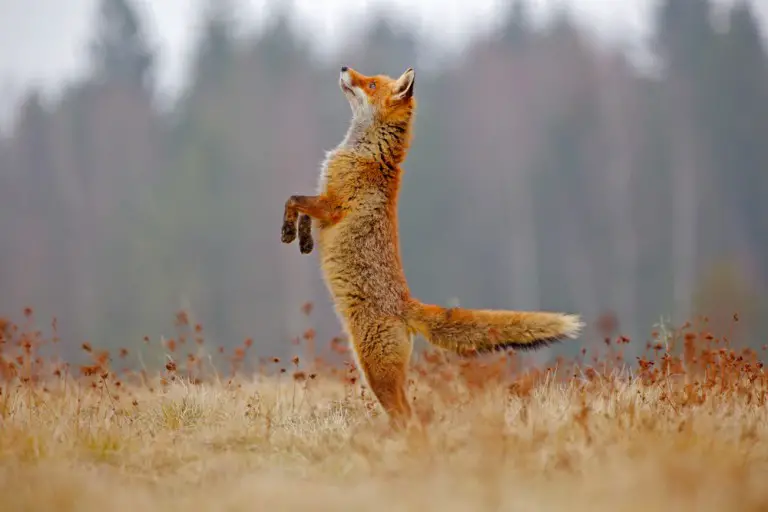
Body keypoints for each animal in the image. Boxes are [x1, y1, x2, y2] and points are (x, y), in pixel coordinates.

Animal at [281, 66, 584, 428]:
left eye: (371, 83)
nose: (343, 68)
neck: (366, 152)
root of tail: (407, 304)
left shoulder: (332, 205)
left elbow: (293, 199)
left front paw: (287, 231)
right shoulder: (323, 201)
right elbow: (302, 212)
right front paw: (303, 239)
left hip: (375, 371)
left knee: (407, 417)